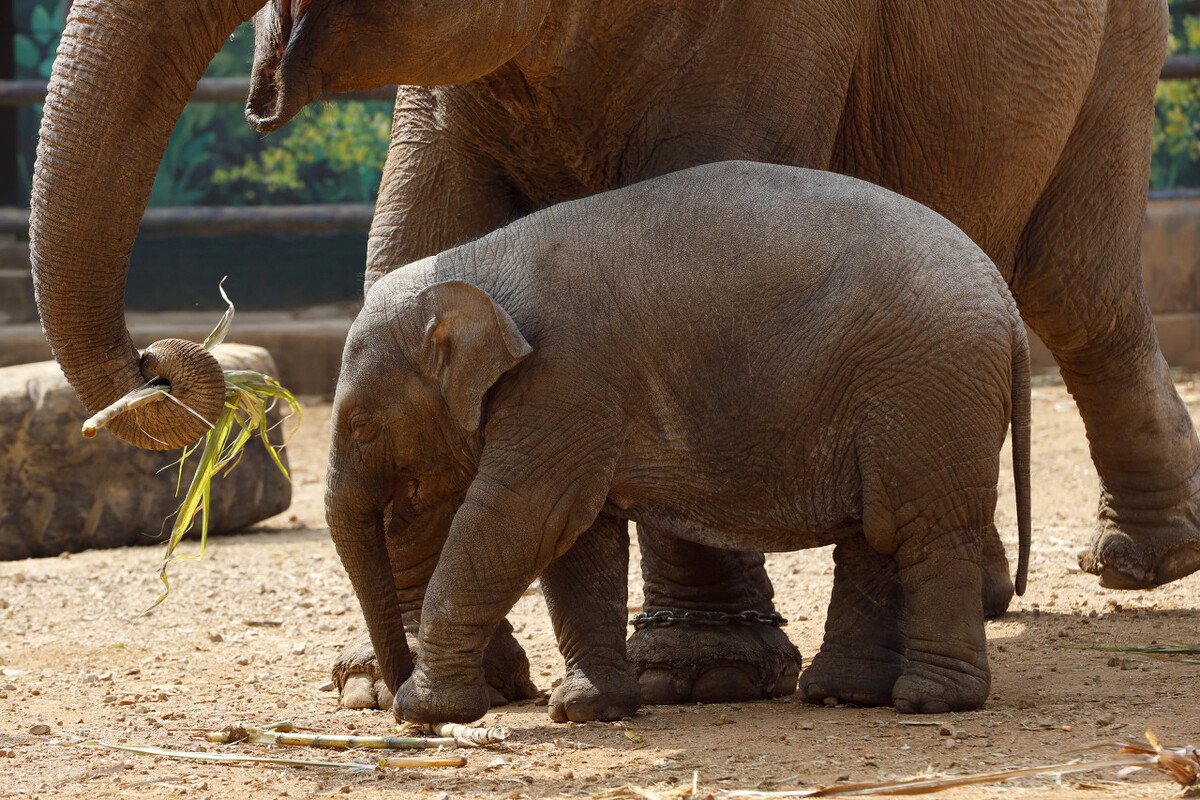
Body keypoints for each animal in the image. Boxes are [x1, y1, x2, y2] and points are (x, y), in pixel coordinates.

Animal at [326, 161, 1033, 723]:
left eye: (361, 426)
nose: (387, 695)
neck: (475, 268)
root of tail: (1005, 300)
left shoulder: (564, 379)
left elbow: (523, 519)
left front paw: (425, 711)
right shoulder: (575, 399)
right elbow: (578, 536)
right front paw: (589, 710)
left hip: (927, 389)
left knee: (922, 529)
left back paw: (930, 701)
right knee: (877, 530)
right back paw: (843, 695)